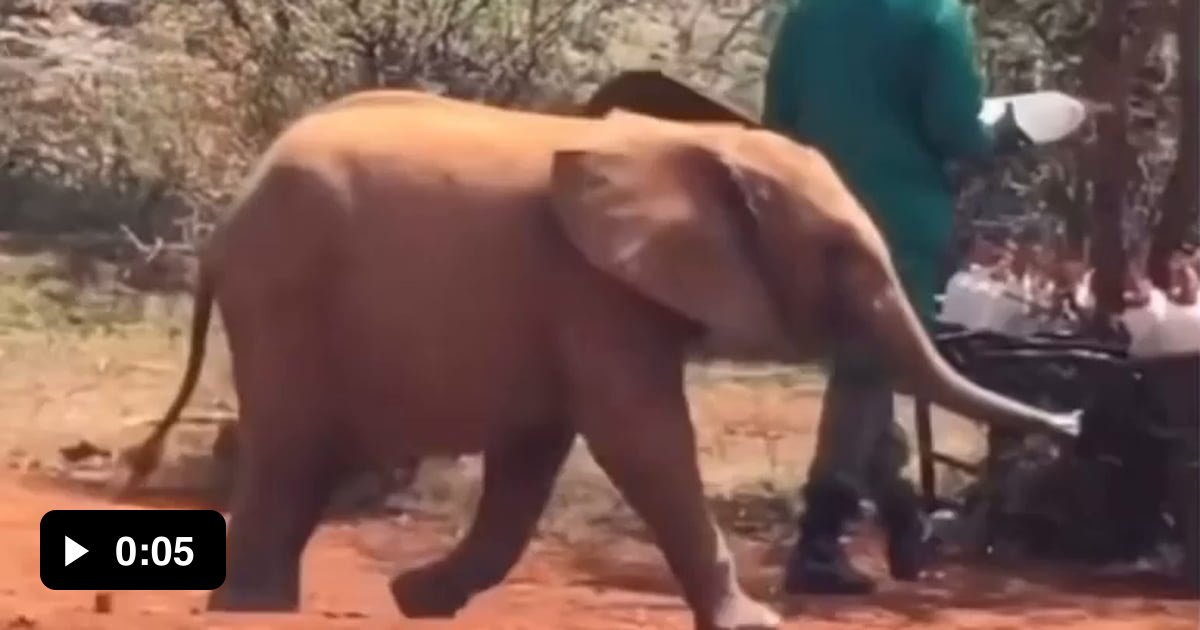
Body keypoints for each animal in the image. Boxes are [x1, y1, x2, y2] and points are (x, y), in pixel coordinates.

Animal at [119, 88, 1076, 630]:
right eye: (841, 255)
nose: (1071, 419)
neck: (696, 142)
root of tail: (225, 226)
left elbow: (535, 453)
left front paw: (415, 600)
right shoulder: (590, 289)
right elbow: (640, 437)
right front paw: (757, 624)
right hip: (284, 294)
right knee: (291, 448)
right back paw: (252, 612)